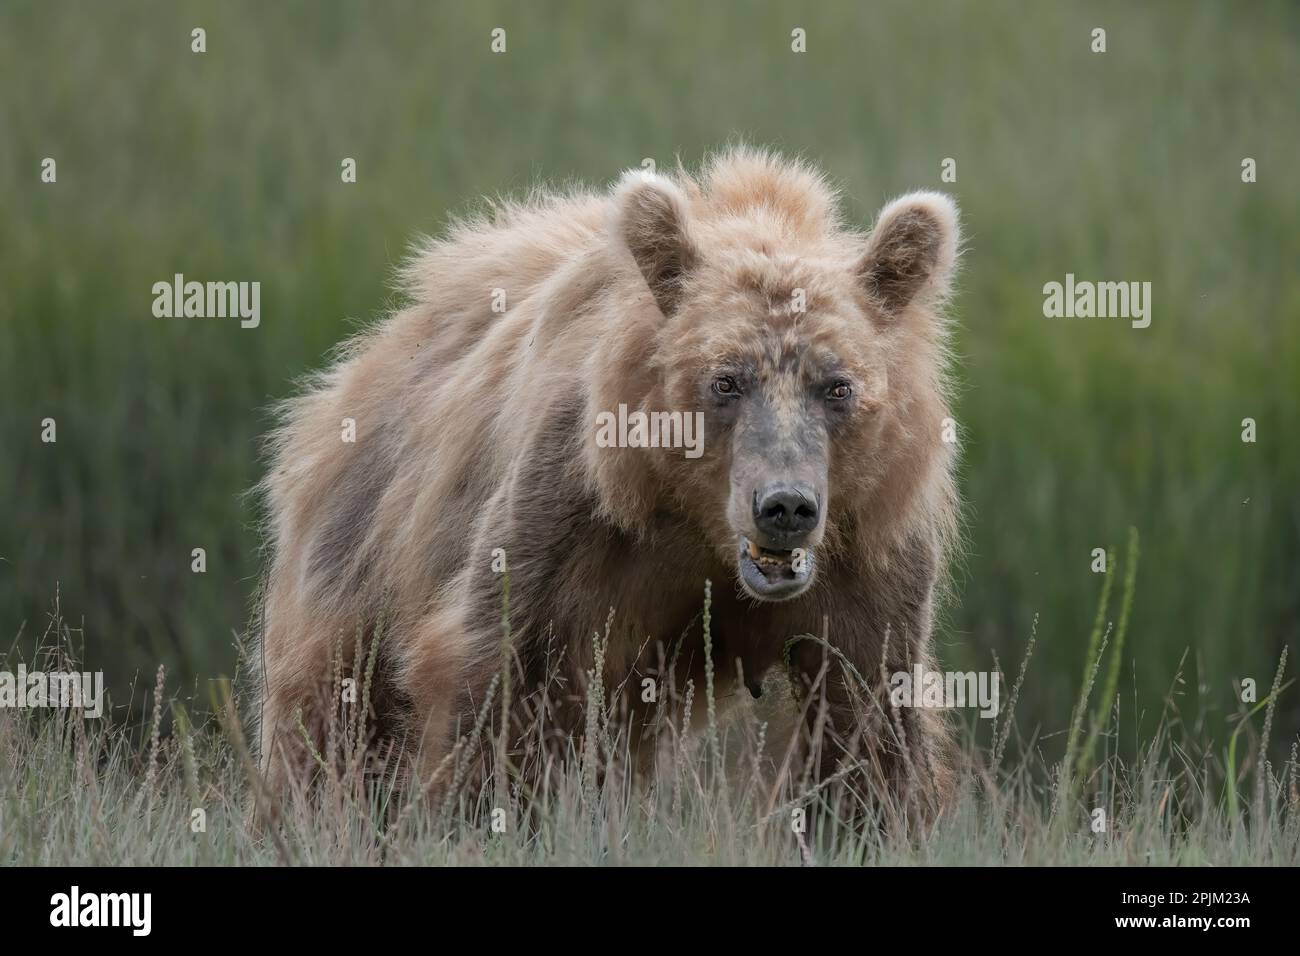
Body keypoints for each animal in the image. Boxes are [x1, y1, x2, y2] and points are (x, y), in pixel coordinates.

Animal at [255, 147, 962, 826]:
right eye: (725, 380)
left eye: (837, 386)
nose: (785, 506)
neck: (694, 519)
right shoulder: (566, 514)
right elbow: (496, 674)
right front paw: (477, 816)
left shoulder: (868, 549)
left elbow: (867, 718)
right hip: (360, 542)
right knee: (335, 711)